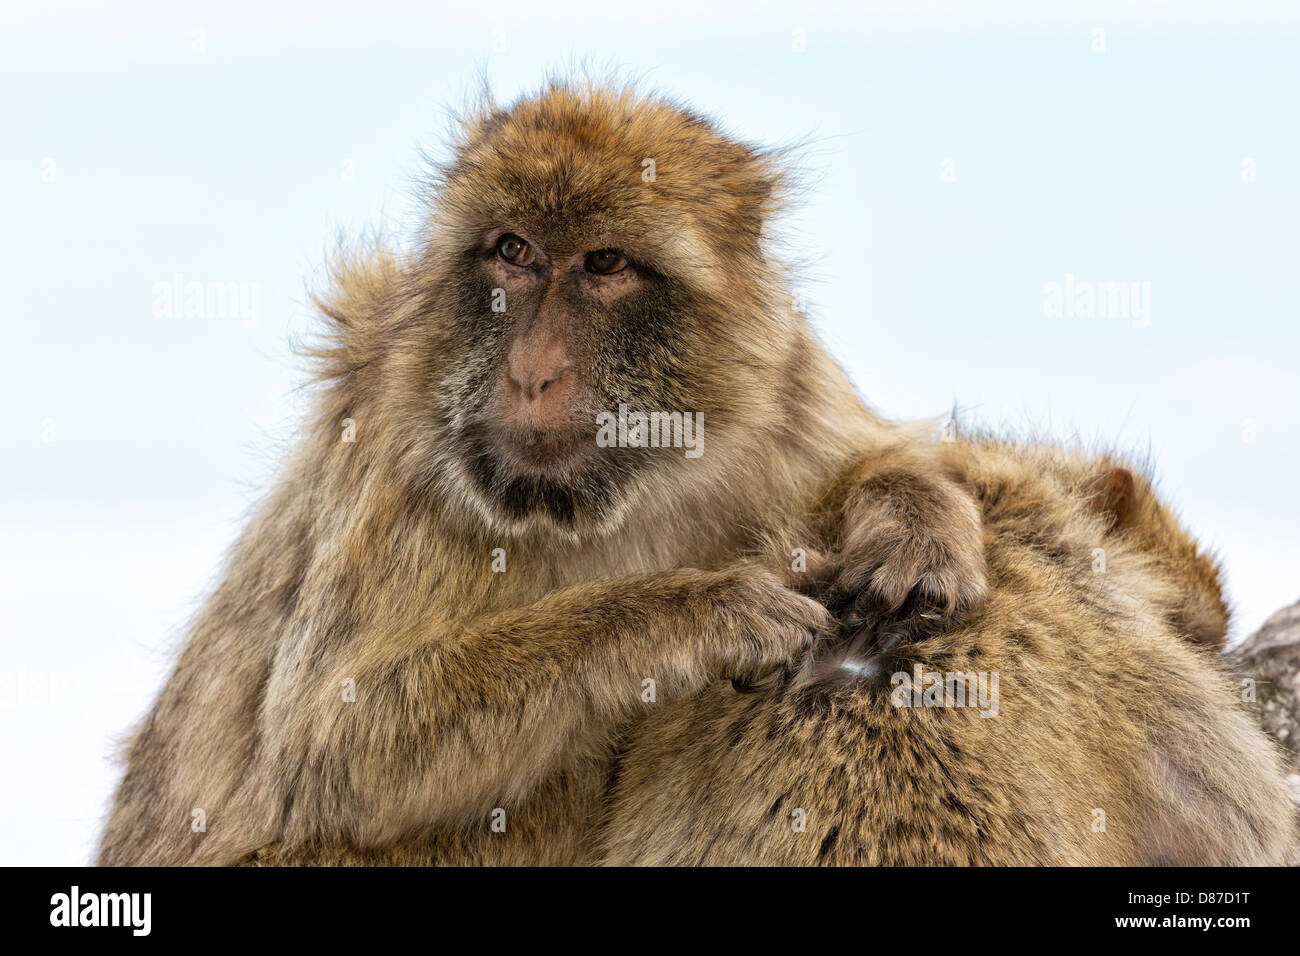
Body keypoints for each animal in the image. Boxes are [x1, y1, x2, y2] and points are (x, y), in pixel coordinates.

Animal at [97, 79, 990, 866]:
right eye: (514, 252)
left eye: (605, 263)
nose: (532, 373)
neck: (616, 494)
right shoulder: (400, 445)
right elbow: (334, 750)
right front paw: (695, 614)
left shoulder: (778, 383)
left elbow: (875, 454)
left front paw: (917, 527)